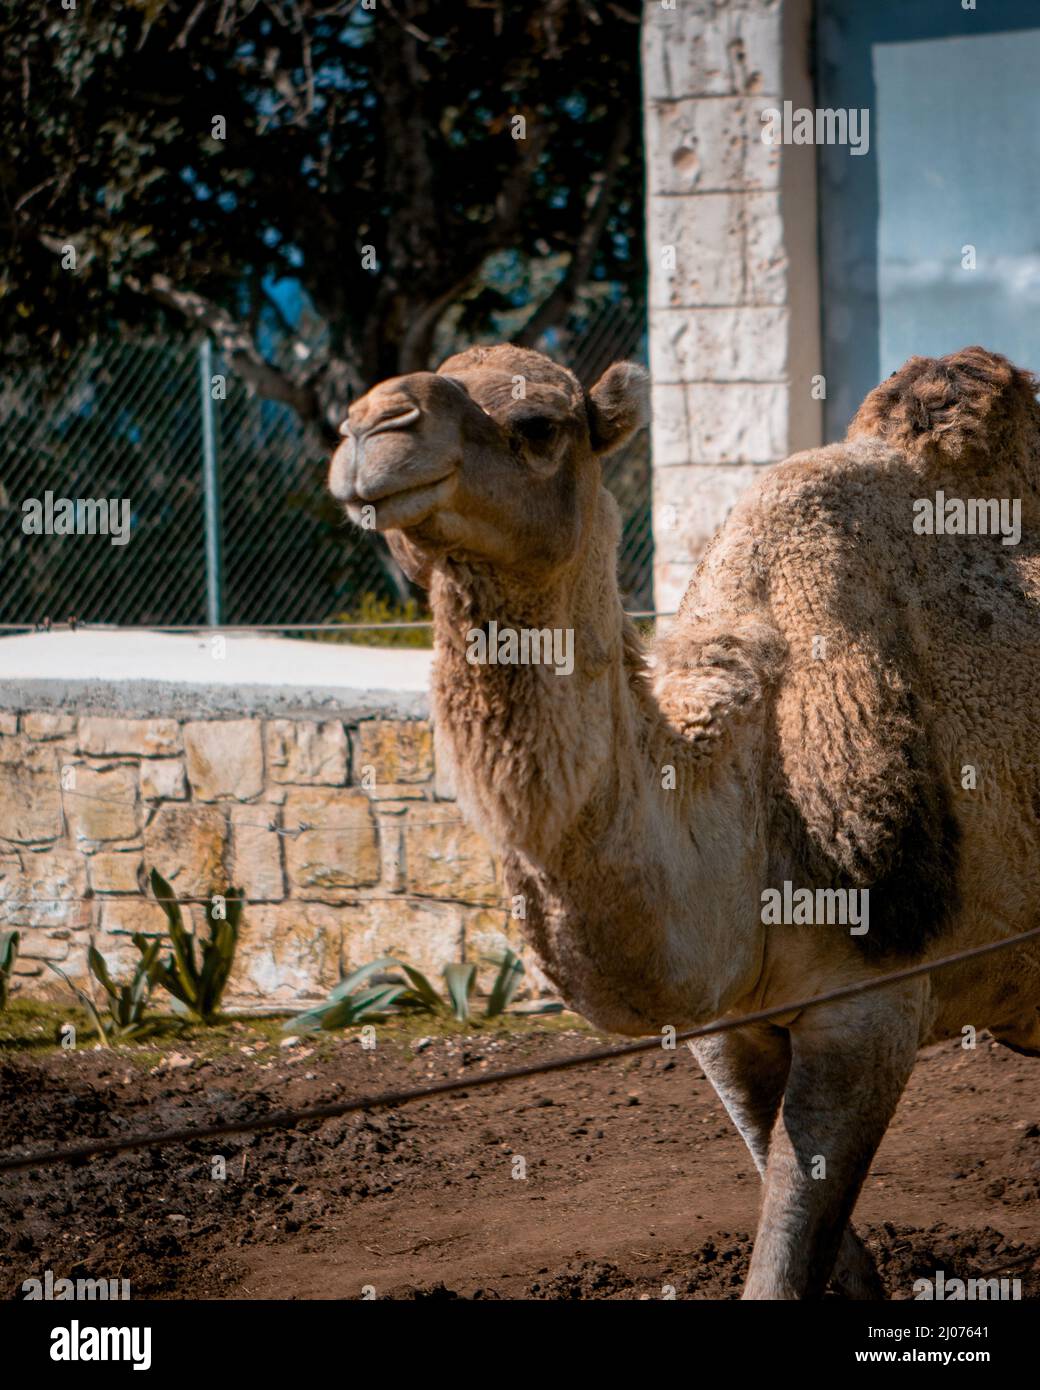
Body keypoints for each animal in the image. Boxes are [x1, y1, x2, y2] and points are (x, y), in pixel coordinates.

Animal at [328, 343, 1040, 1299]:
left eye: (538, 424)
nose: (371, 427)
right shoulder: (725, 1030)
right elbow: (810, 1228)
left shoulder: (874, 1005)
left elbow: (784, 1253)